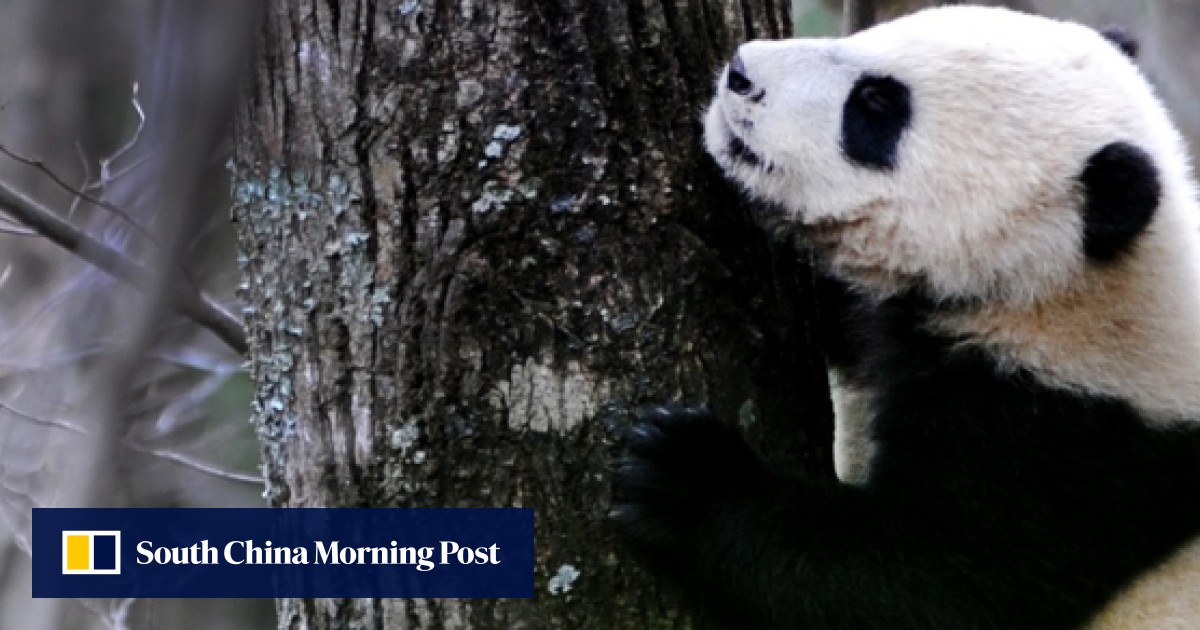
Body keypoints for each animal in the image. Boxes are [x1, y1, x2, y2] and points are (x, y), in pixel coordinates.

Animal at [611, 6, 1200, 630]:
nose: (741, 72)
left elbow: (926, 581)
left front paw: (684, 474)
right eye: (868, 37)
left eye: (875, 107)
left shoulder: (1075, 441)